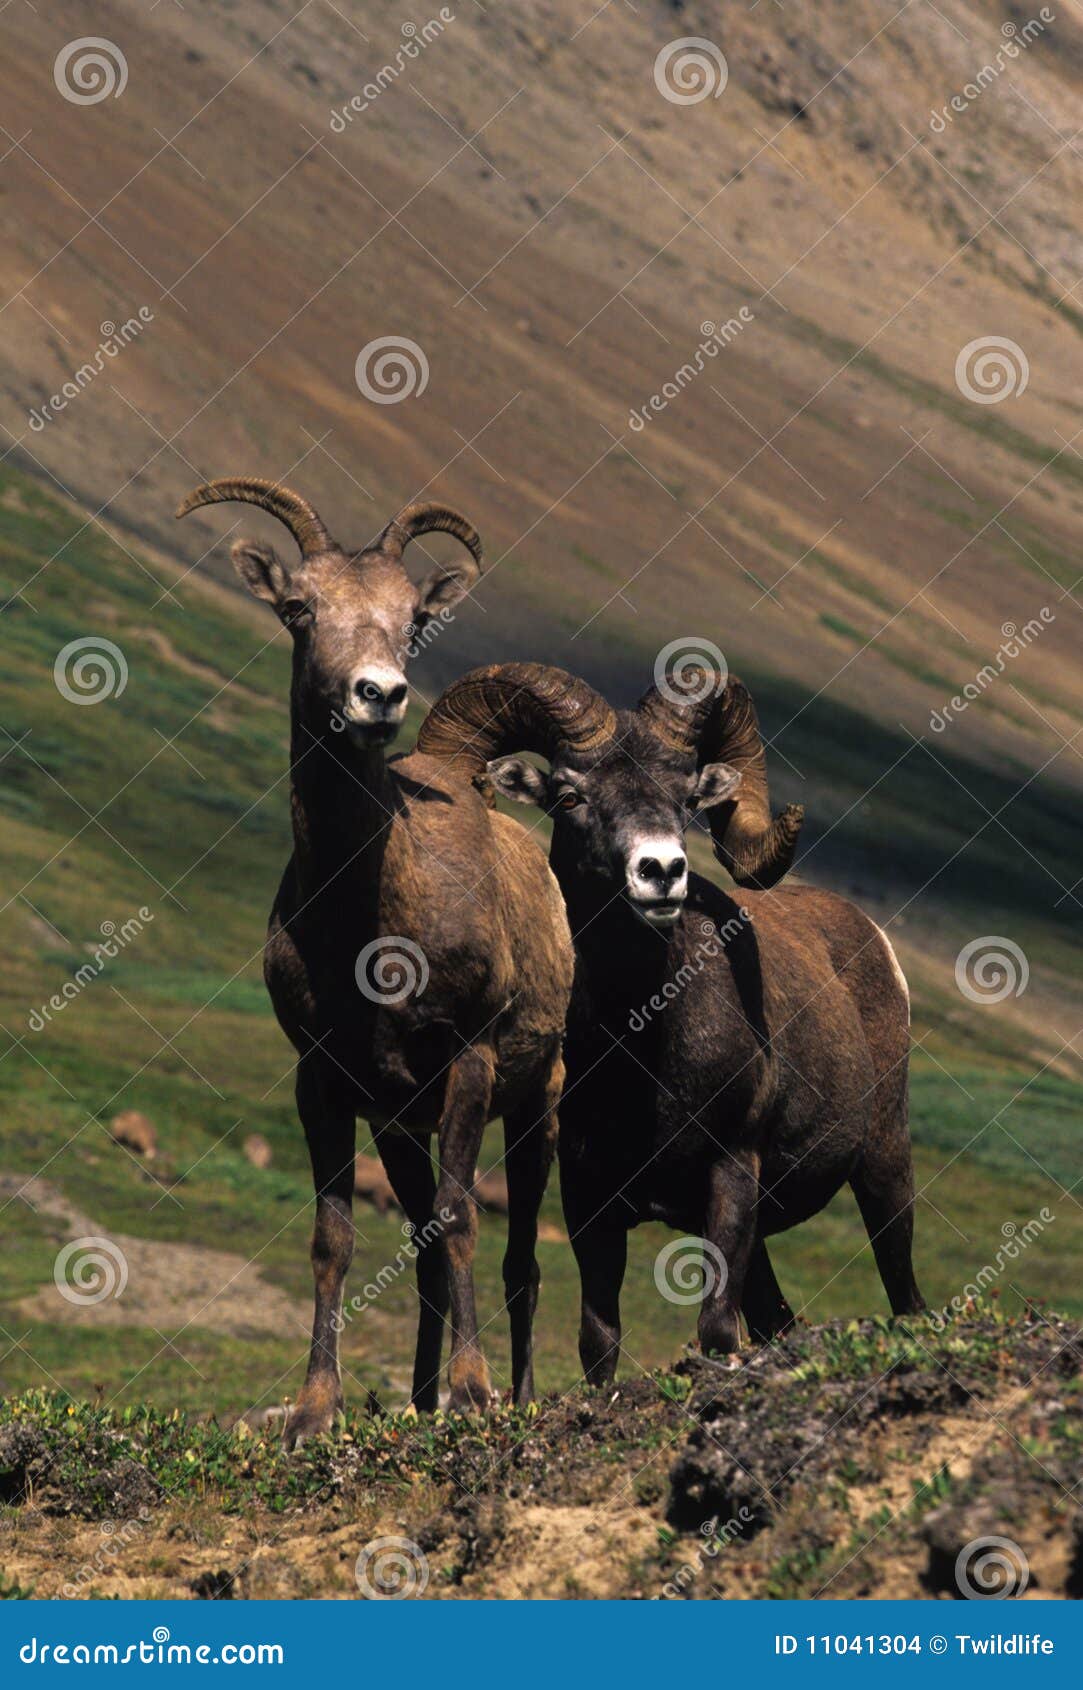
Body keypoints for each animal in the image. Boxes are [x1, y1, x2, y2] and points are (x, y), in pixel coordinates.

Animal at [176, 481, 581, 1442]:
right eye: (299, 607)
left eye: (412, 621)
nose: (379, 695)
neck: (371, 937)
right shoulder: (324, 1082)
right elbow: (335, 1241)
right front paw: (315, 1413)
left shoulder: (468, 1062)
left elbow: (461, 1219)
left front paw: (472, 1398)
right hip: (402, 1128)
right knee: (426, 1257)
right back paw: (418, 1398)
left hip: (536, 1111)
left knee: (518, 1261)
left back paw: (511, 1395)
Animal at [418, 661, 925, 1383]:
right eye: (569, 797)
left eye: (685, 797)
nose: (661, 871)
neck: (642, 1050)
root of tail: (875, 943)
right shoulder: (589, 1201)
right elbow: (598, 1343)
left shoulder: (732, 1171)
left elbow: (715, 1330)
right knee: (776, 1319)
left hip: (883, 1167)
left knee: (904, 1293)